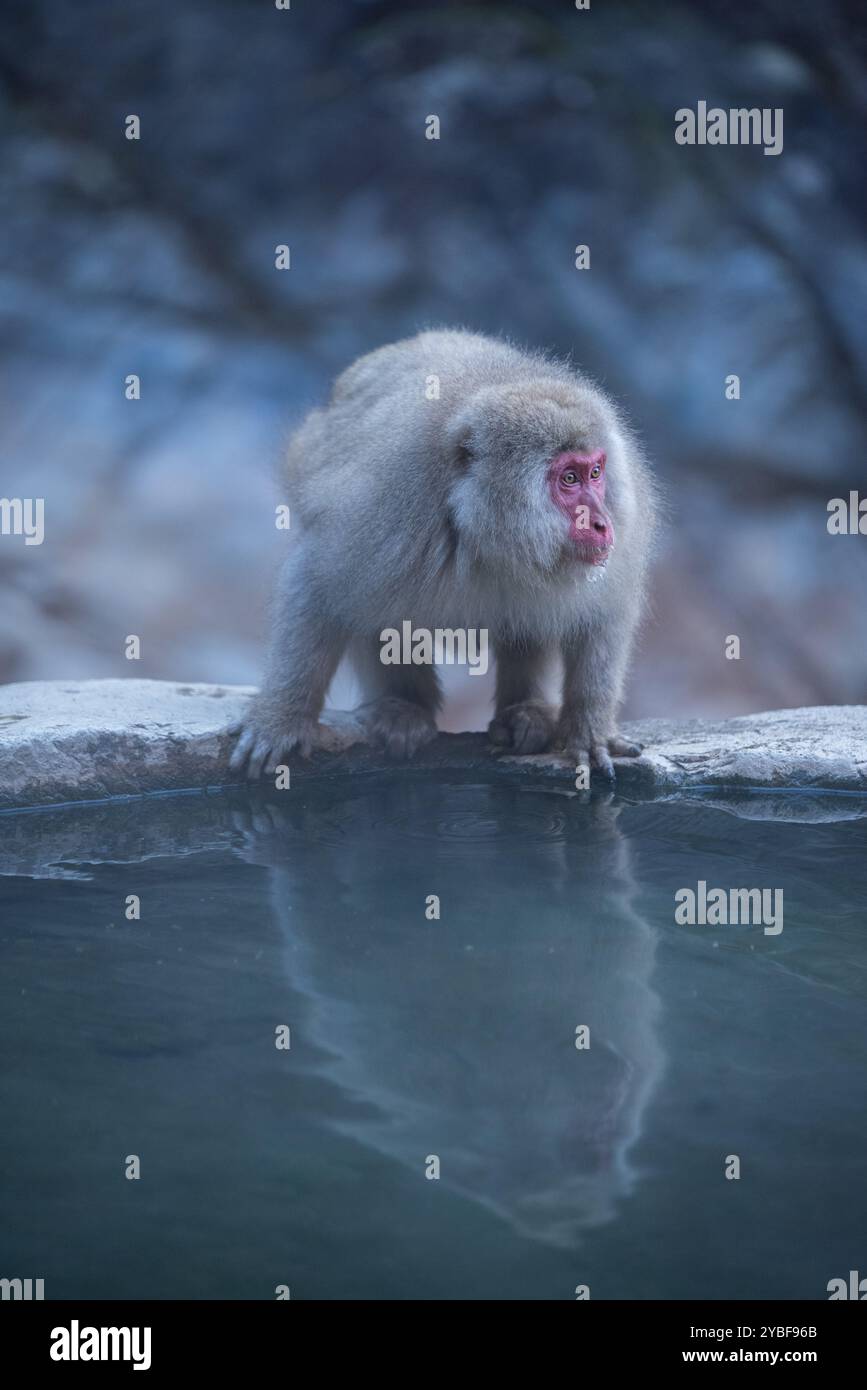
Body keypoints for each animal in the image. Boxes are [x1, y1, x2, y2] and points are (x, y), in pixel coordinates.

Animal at [230, 329, 657, 780]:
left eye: (596, 472)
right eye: (569, 479)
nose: (603, 523)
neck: (485, 534)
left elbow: (603, 618)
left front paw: (588, 730)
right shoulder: (383, 513)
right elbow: (316, 584)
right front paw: (281, 718)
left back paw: (526, 712)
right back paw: (403, 709)